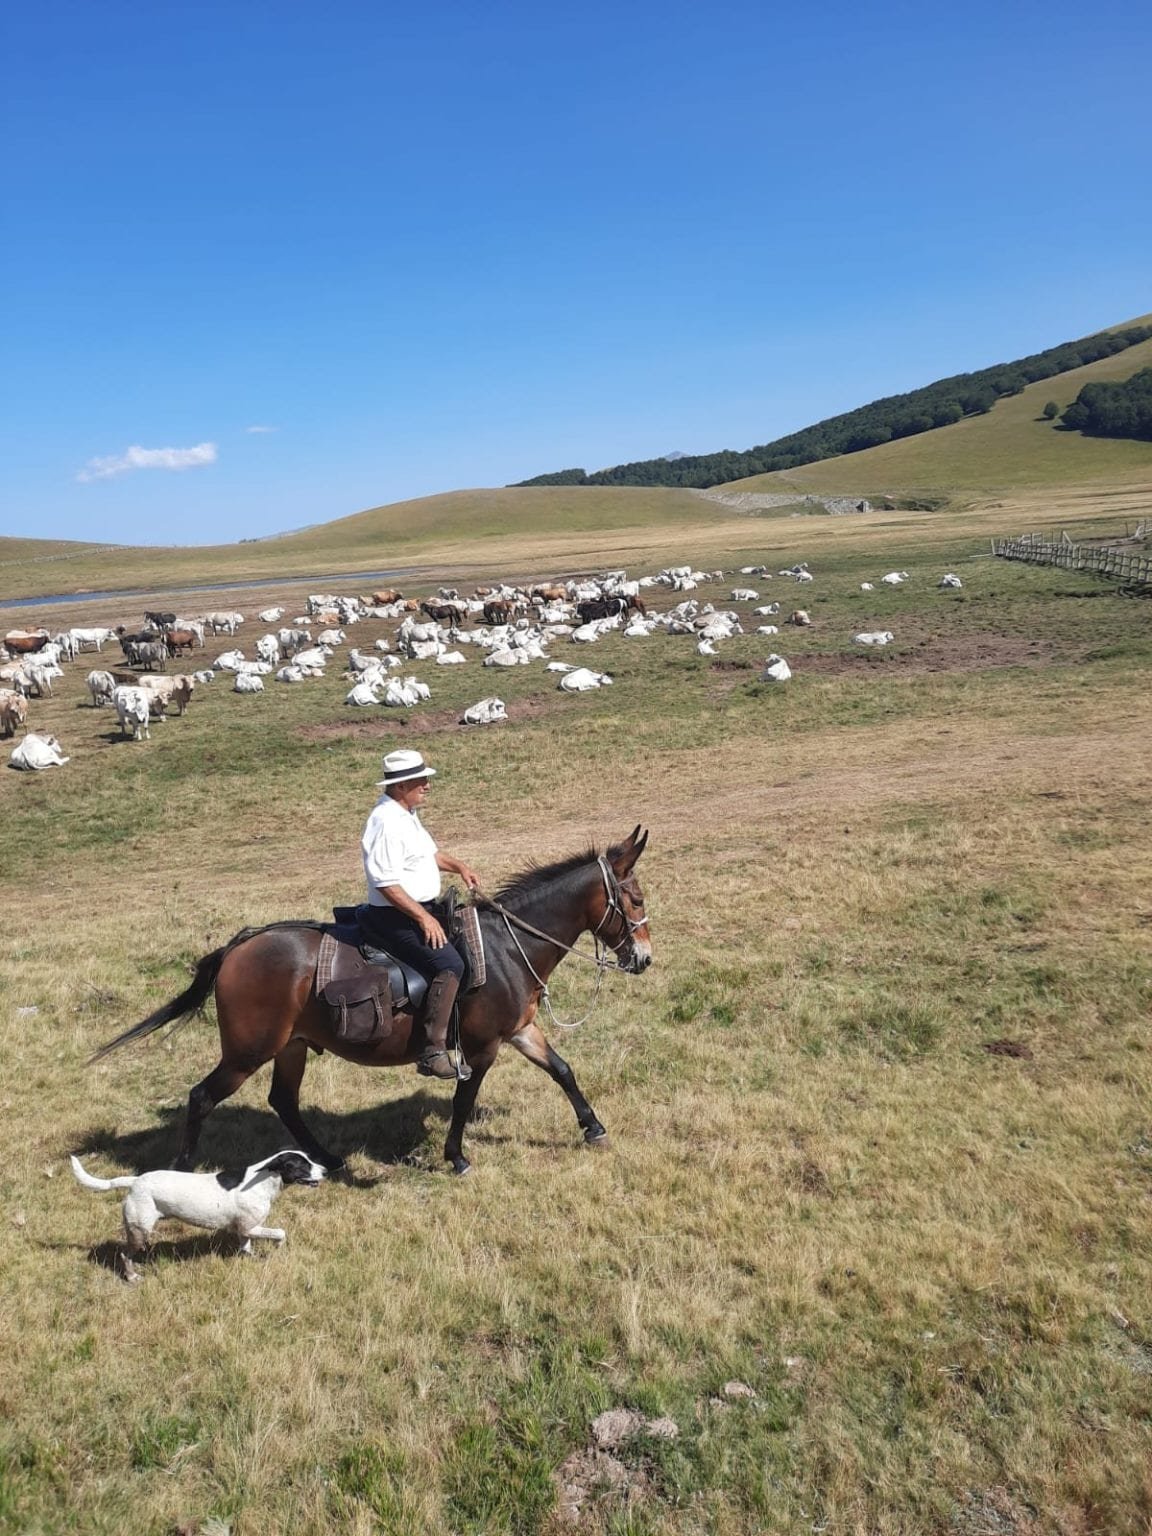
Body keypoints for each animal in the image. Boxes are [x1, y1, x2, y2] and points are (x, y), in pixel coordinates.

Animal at [90, 829, 652, 1177]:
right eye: (636, 900)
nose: (644, 958)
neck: (505, 948)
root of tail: (240, 946)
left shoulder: (519, 1030)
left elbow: (562, 1070)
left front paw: (594, 1129)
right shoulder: (482, 1046)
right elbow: (463, 1099)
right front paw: (456, 1157)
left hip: (291, 1046)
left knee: (283, 1101)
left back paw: (329, 1159)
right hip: (246, 1053)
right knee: (202, 1097)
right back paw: (183, 1170)